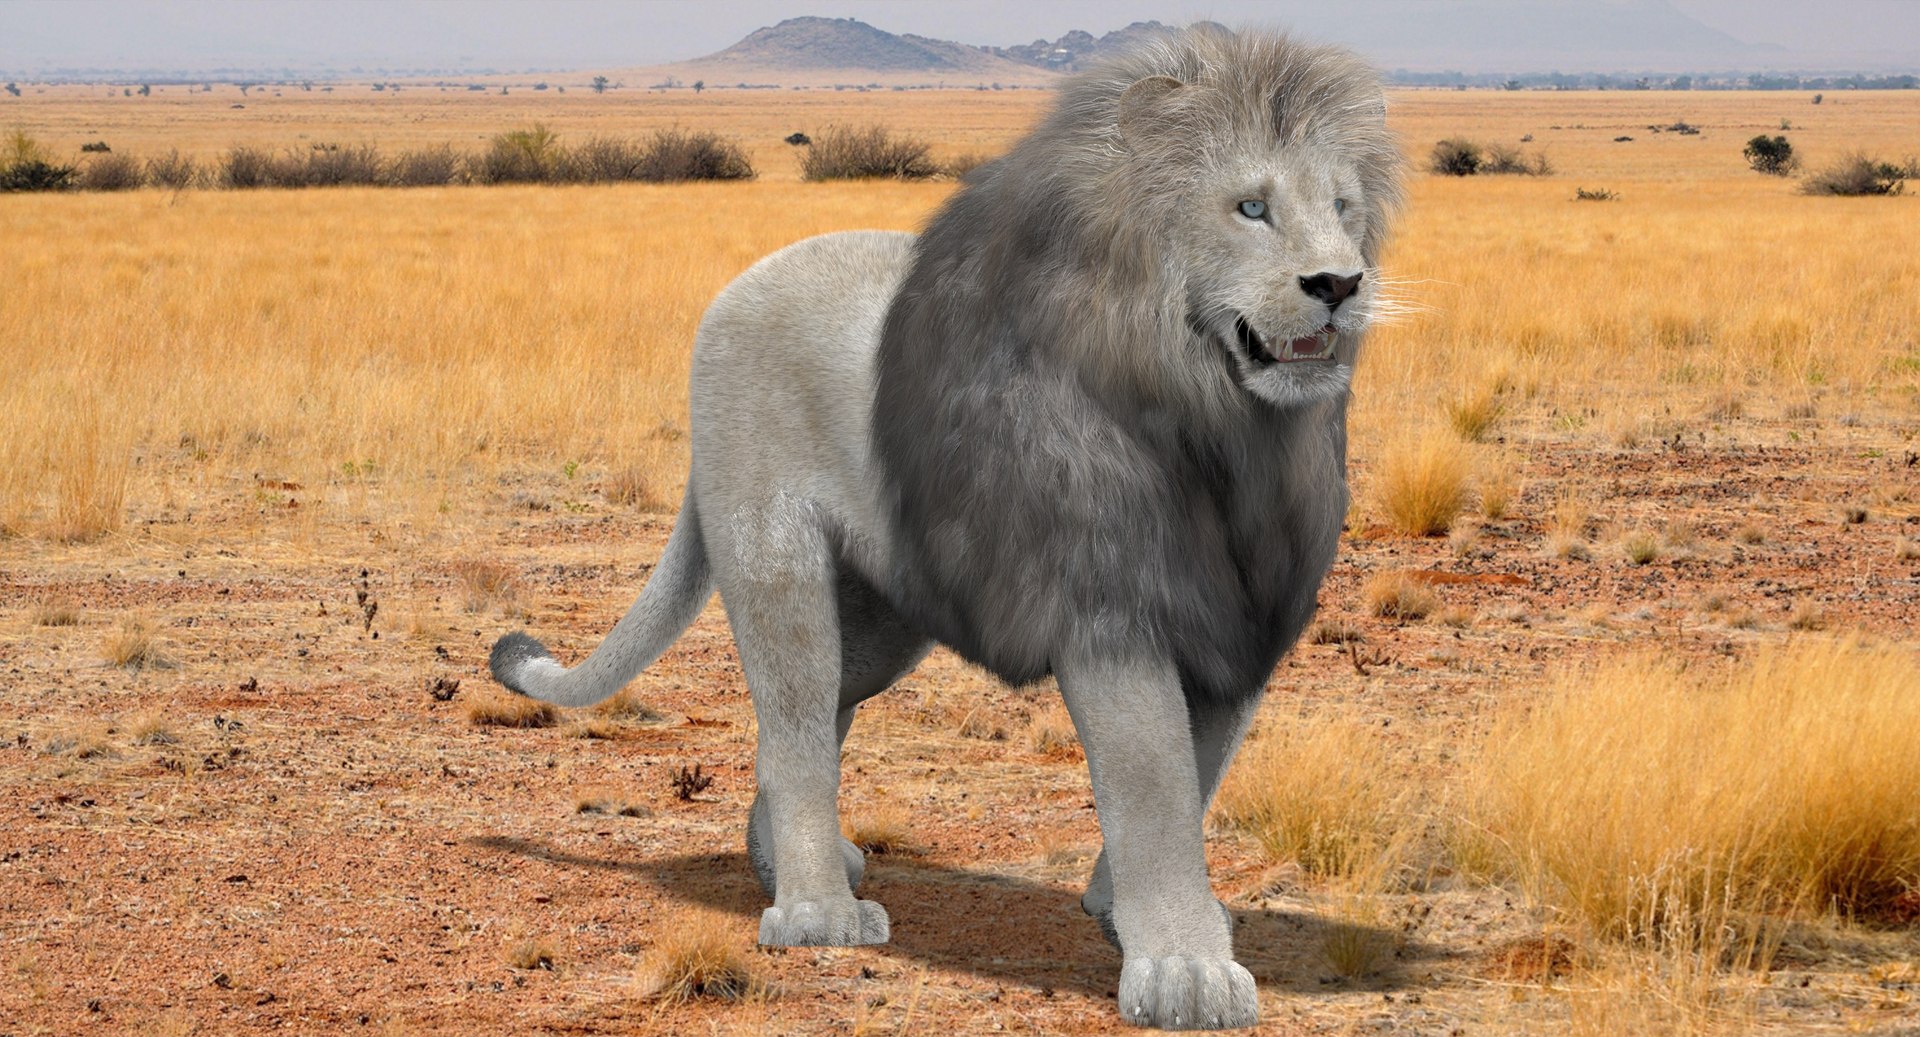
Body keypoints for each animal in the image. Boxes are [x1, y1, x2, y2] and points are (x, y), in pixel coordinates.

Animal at [490, 25, 1401, 1030]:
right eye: (1251, 207)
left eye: (1344, 207)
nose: (1339, 282)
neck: (1224, 429)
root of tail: (734, 288)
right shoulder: (1109, 607)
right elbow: (1156, 786)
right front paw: (1186, 971)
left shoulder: (1239, 625)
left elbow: (1198, 773)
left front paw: (1117, 910)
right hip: (776, 556)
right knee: (795, 722)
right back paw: (816, 912)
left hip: (886, 613)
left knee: (816, 716)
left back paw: (786, 863)